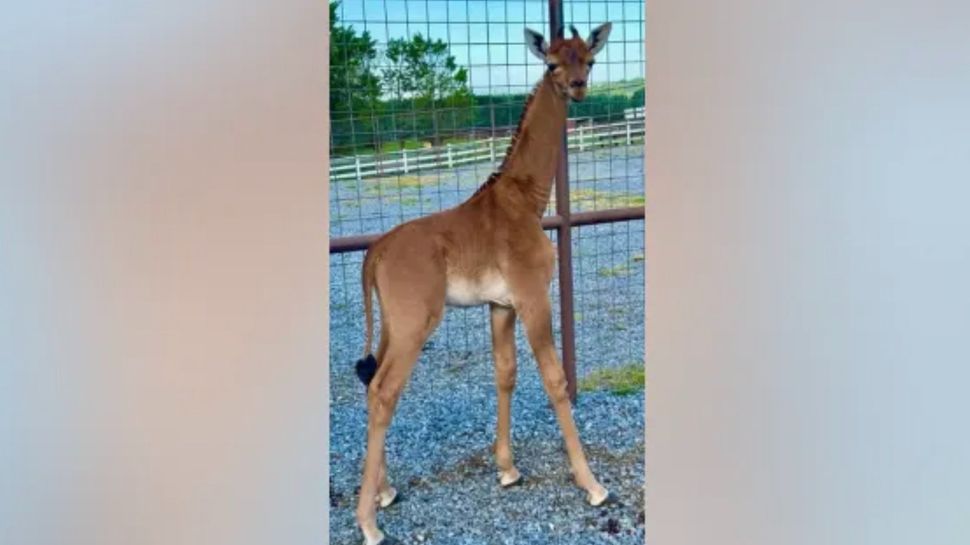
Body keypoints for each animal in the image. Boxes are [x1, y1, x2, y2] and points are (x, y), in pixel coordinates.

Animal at [351, 22, 613, 545]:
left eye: (589, 59)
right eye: (552, 63)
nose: (577, 87)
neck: (527, 199)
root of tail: (374, 253)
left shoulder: (501, 305)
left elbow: (505, 373)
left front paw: (508, 469)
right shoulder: (533, 297)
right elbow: (555, 379)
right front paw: (592, 484)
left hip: (392, 322)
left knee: (371, 385)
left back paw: (385, 492)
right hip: (415, 322)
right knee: (384, 391)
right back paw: (368, 522)